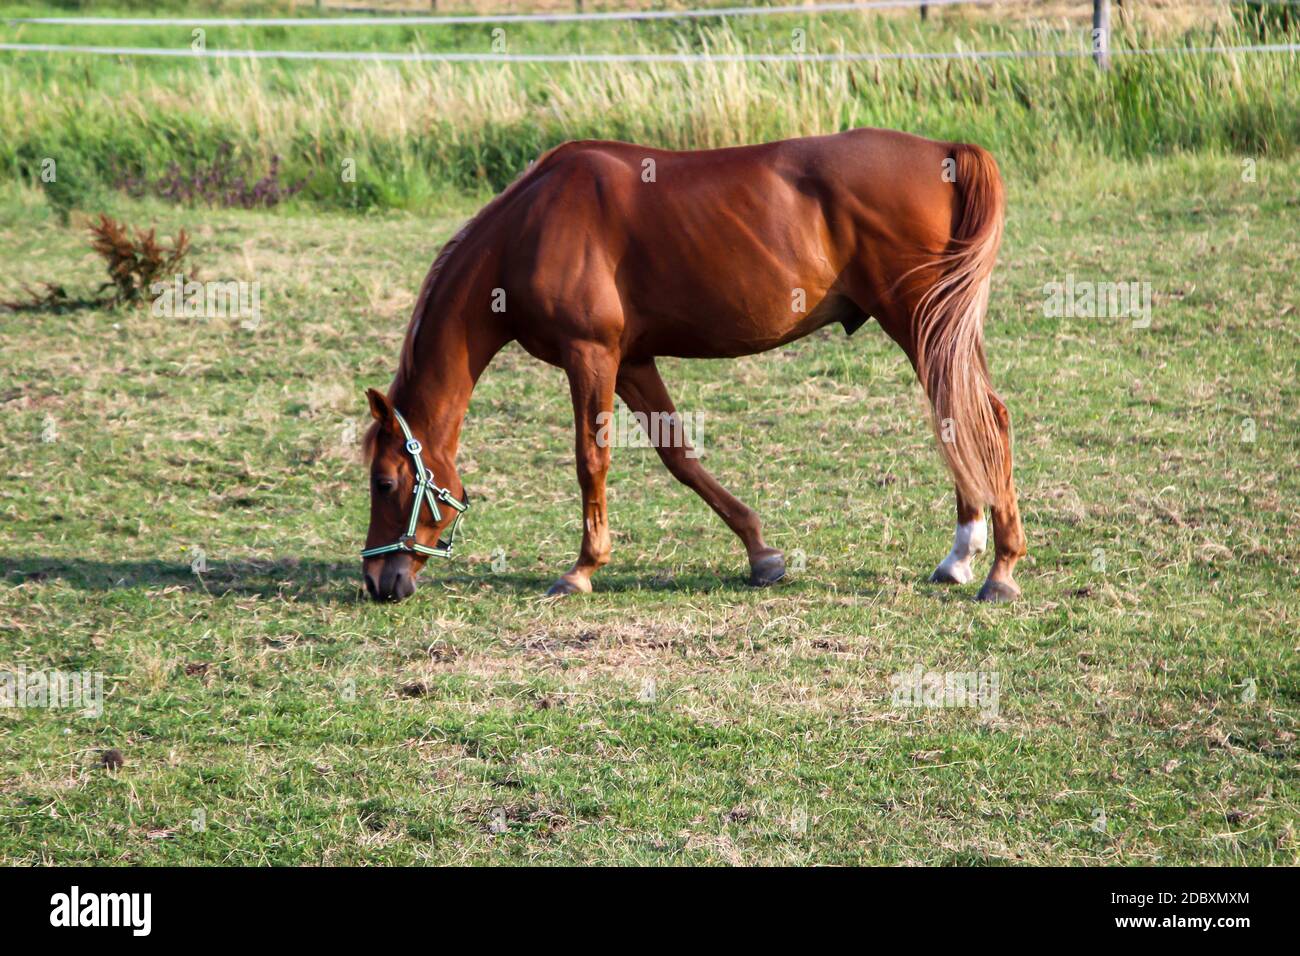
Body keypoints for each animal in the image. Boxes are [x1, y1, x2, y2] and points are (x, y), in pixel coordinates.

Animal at [360, 127, 1026, 604]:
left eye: (384, 482)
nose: (378, 583)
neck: (531, 226)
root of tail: (947, 153)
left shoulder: (590, 356)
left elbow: (590, 459)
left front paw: (581, 569)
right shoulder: (632, 362)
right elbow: (678, 456)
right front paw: (761, 554)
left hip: (918, 324)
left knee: (979, 420)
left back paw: (1000, 569)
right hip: (941, 330)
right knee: (971, 418)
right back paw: (962, 555)